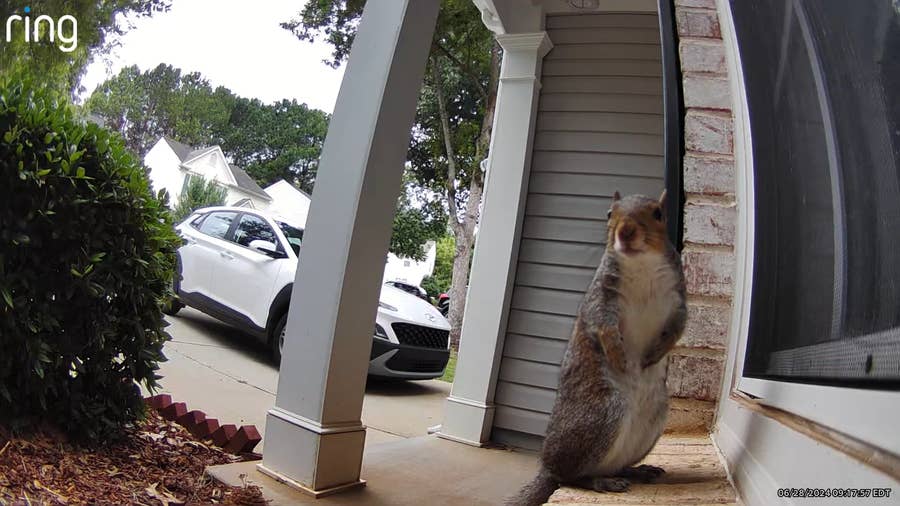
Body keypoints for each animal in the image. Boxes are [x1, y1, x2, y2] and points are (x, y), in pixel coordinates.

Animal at [507, 190, 686, 506]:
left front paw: (655, 353)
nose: (625, 231)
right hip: (603, 413)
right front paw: (619, 356)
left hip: (653, 418)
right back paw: (601, 481)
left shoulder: (678, 298)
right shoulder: (601, 298)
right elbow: (603, 325)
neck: (641, 265)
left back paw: (637, 471)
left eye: (658, 214)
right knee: (570, 478)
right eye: (609, 213)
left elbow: (678, 328)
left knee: (613, 466)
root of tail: (547, 466)